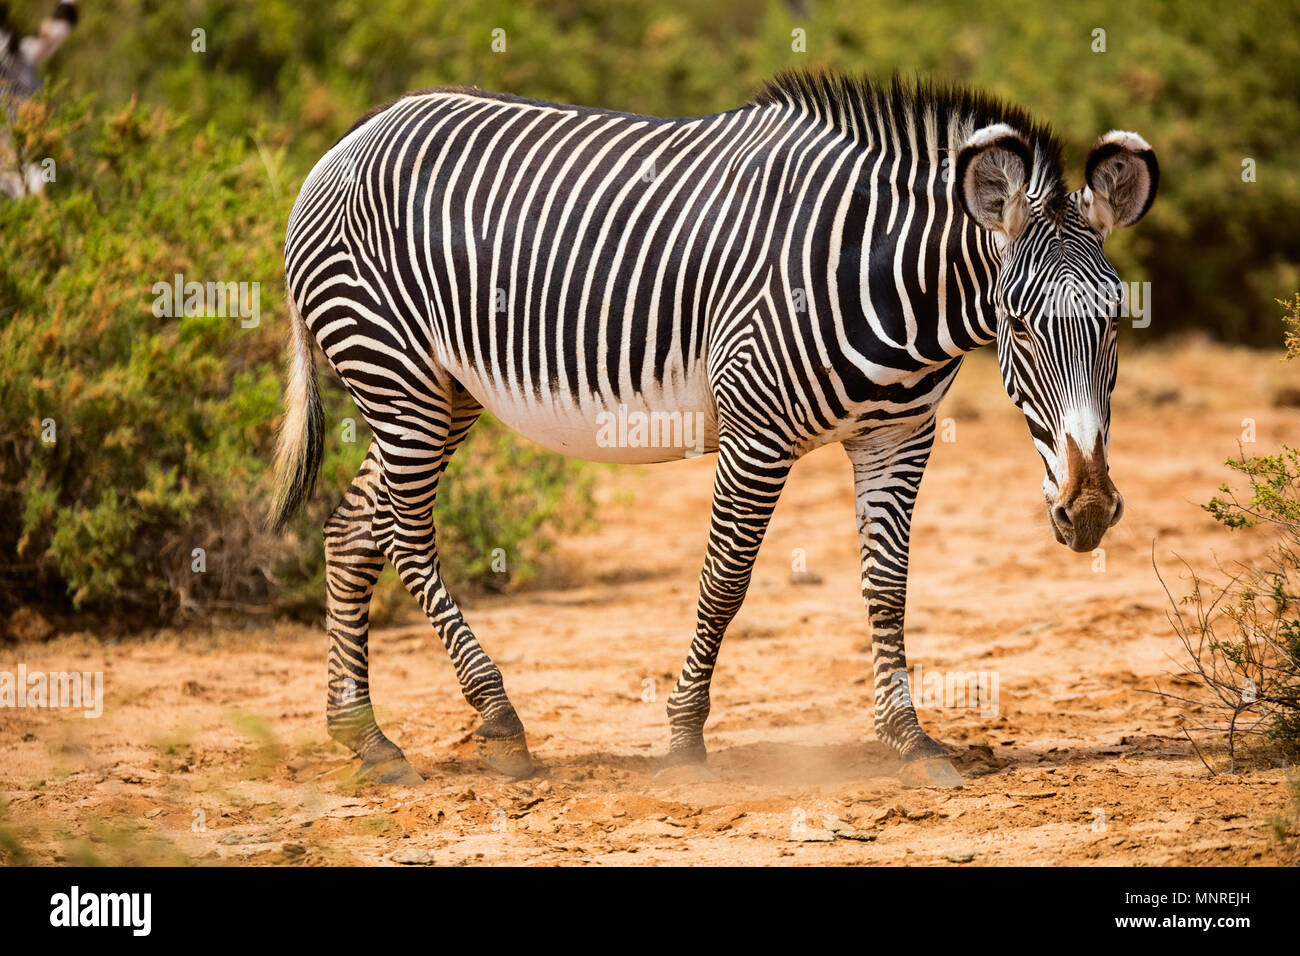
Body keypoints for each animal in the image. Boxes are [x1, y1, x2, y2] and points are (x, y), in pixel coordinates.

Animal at [272, 72, 1157, 788]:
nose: (1087, 511)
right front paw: (684, 740)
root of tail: (348, 140)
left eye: (1117, 322)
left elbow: (888, 585)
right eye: (1019, 325)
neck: (891, 286)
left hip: (444, 391)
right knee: (405, 534)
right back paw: (499, 723)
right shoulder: (756, 431)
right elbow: (726, 583)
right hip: (399, 376)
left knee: (352, 528)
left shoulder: (897, 434)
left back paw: (367, 739)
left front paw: (909, 739)